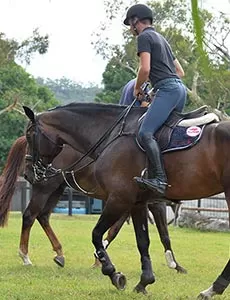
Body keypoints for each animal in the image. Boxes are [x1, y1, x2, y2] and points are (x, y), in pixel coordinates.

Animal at [0, 135, 185, 272]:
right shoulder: (149, 203)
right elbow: (162, 233)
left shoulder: (126, 202)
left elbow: (114, 231)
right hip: (45, 189)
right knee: (30, 215)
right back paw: (25, 256)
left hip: (57, 188)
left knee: (43, 216)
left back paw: (59, 253)